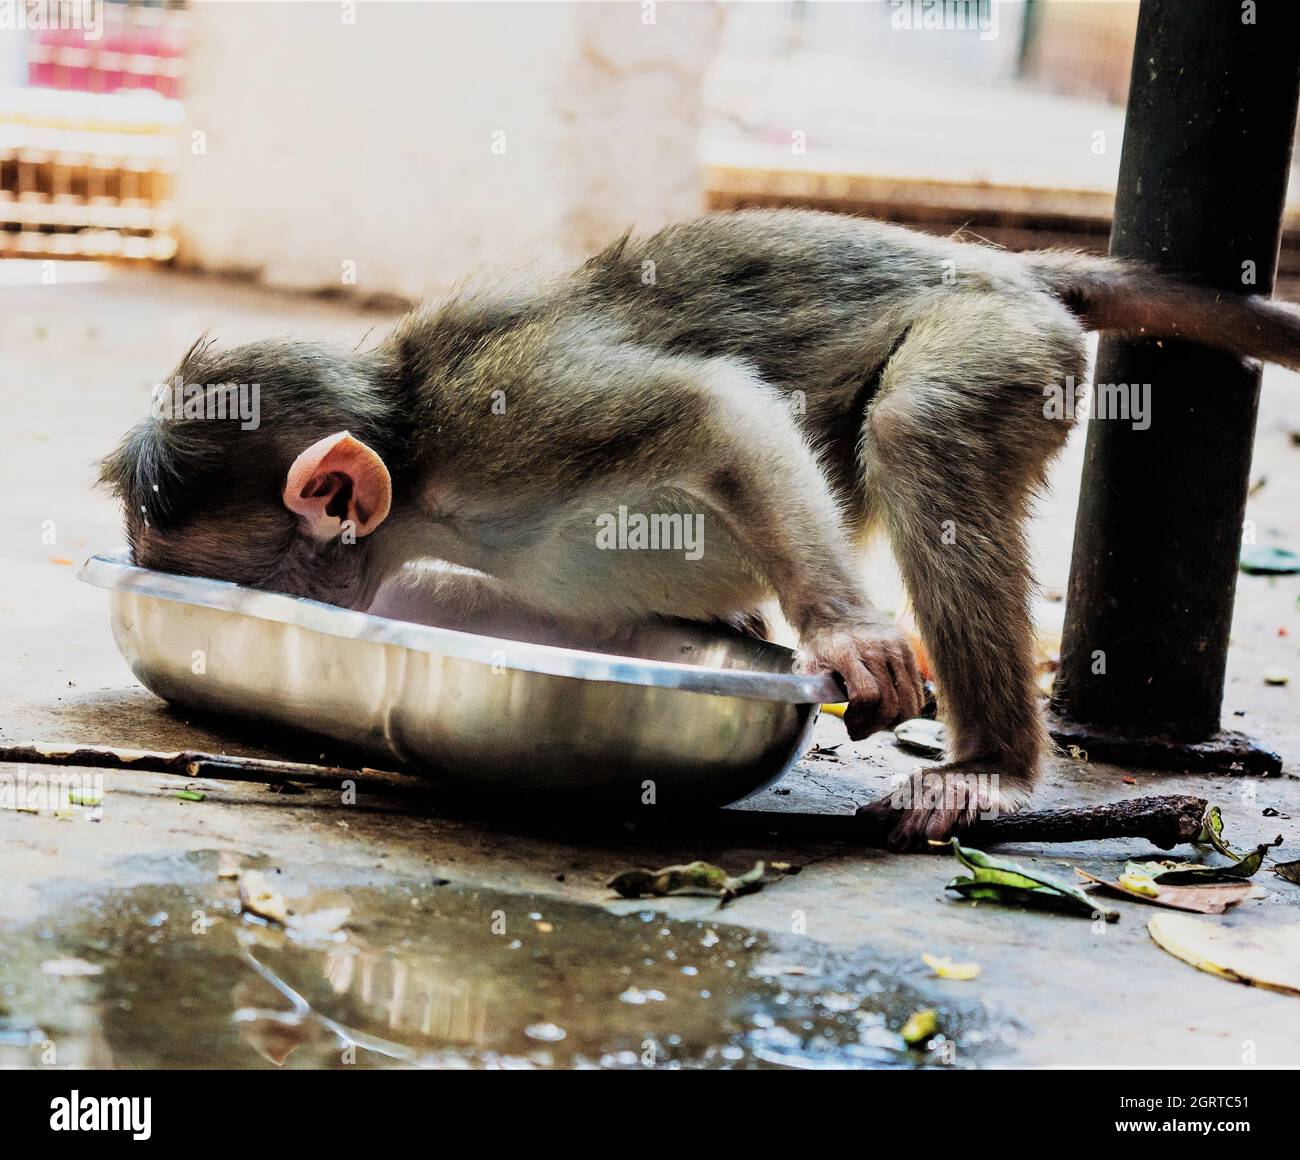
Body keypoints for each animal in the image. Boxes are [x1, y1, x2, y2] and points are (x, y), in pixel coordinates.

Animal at [100, 209, 1300, 849]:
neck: (419, 473)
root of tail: (1003, 263)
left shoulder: (506, 421)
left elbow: (711, 409)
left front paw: (845, 634)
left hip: (1004, 336)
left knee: (917, 424)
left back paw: (994, 767)